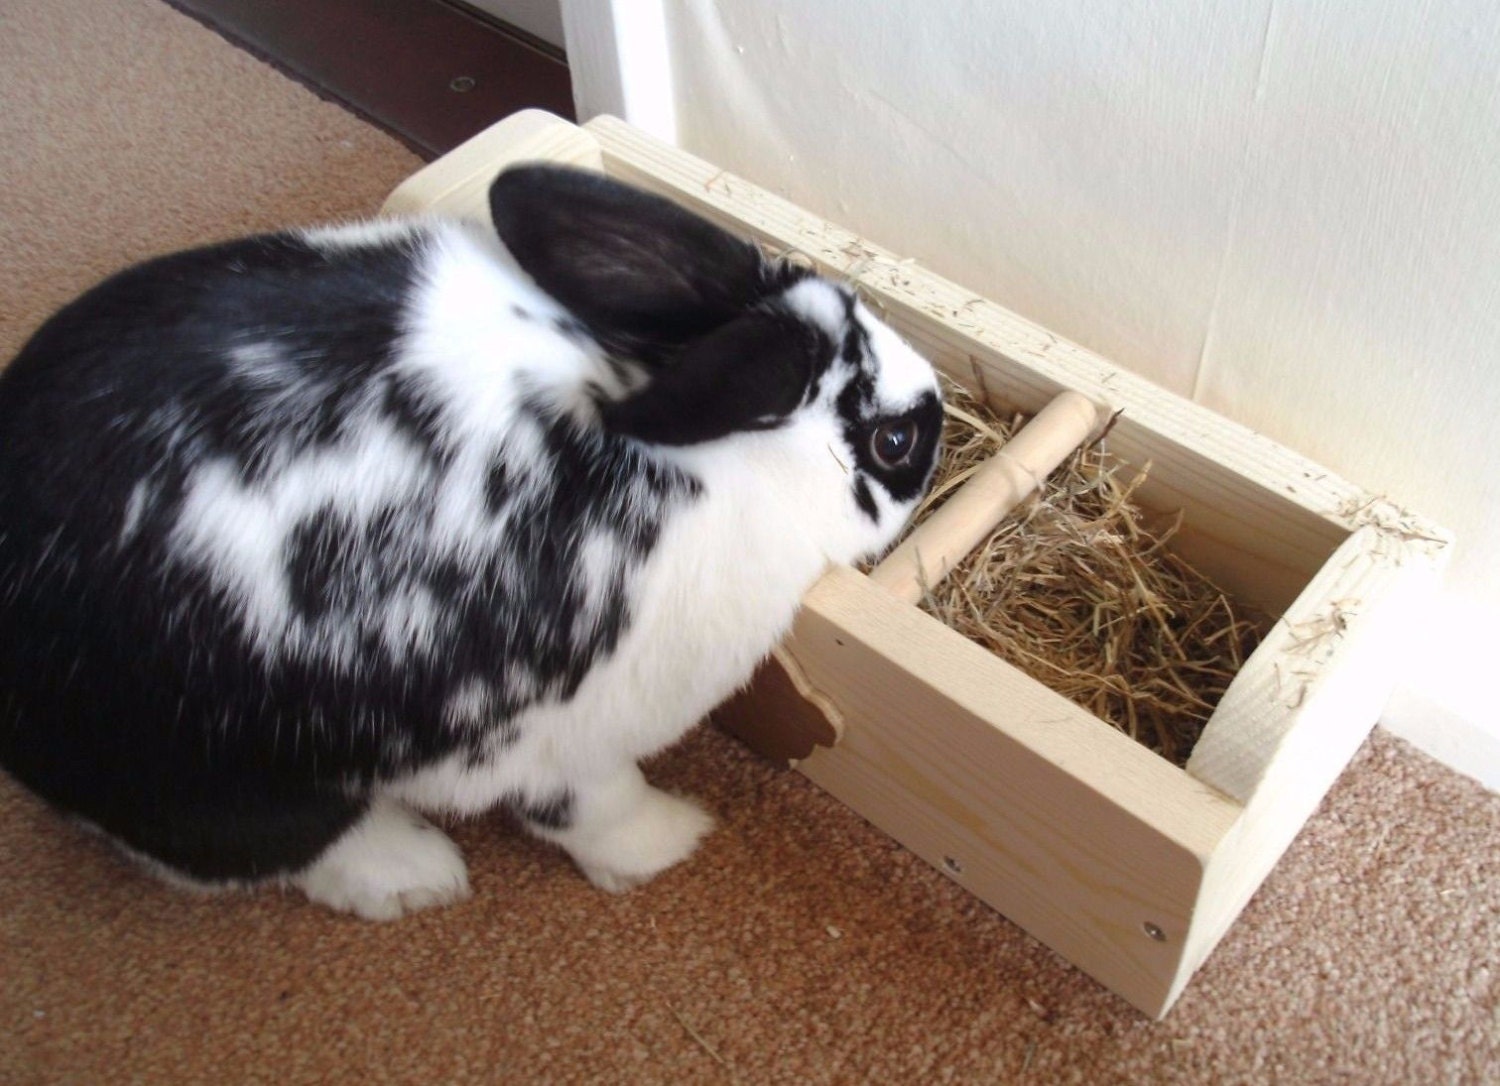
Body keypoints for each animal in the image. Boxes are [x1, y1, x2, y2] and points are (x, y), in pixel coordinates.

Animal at [0, 163, 943, 920]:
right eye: (893, 441)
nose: (937, 416)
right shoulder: (573, 740)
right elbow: (599, 811)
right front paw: (671, 842)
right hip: (218, 773)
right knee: (258, 851)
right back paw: (416, 875)